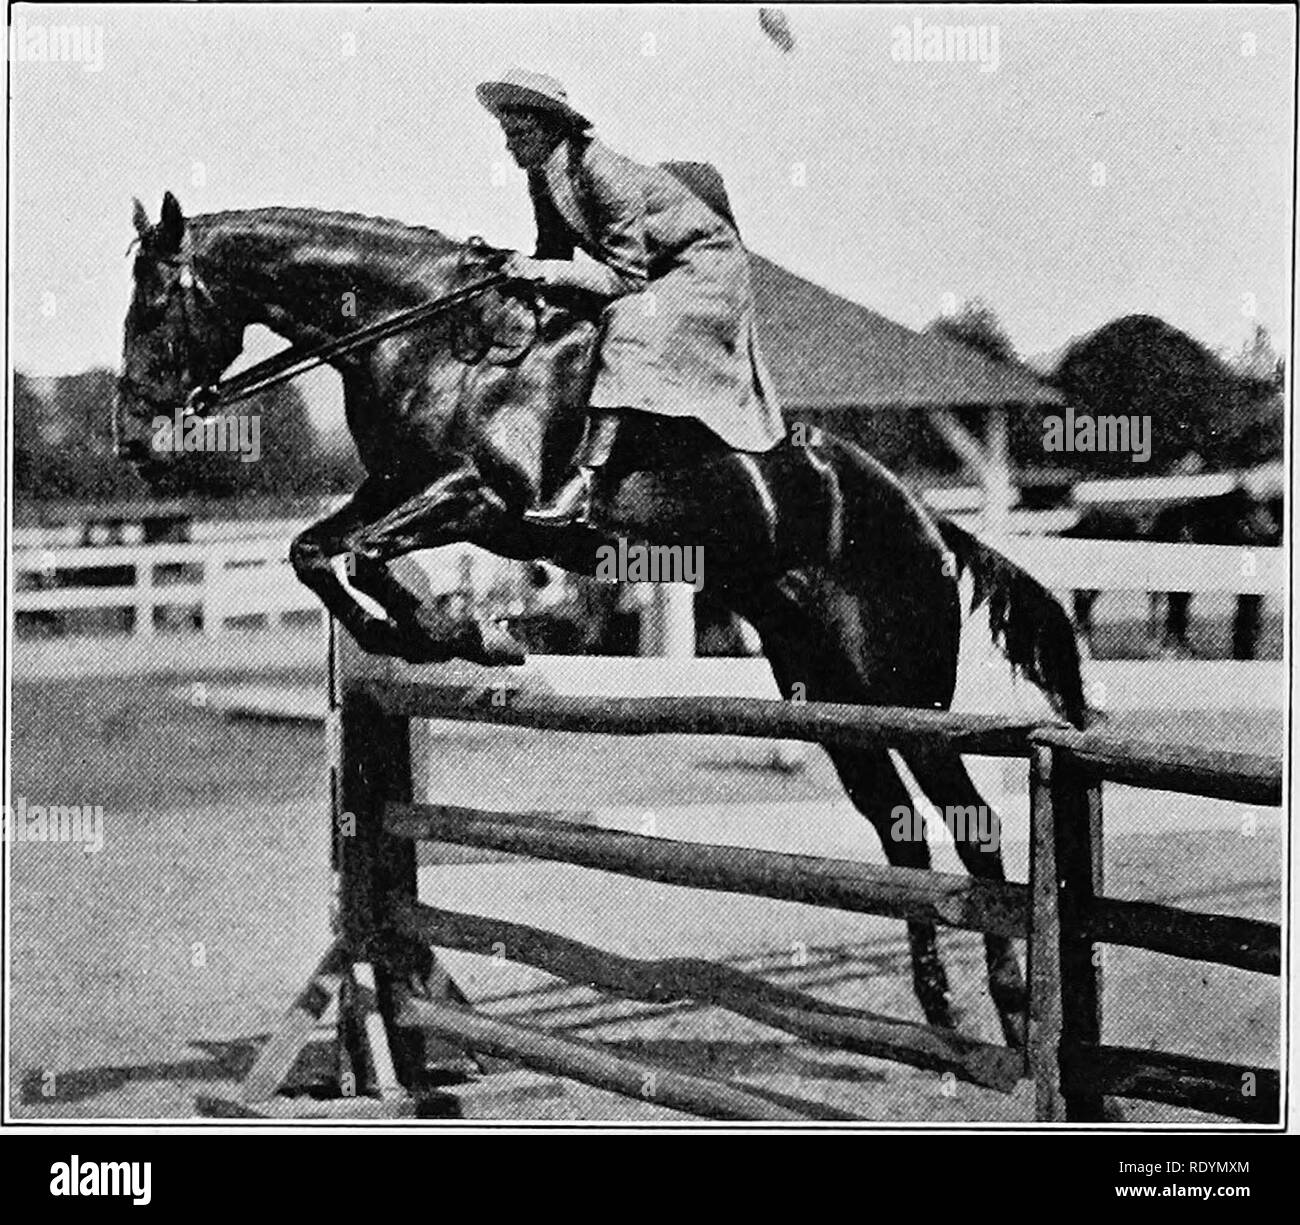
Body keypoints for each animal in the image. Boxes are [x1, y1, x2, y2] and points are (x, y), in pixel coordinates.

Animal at [115, 192, 1094, 1054]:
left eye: (154, 307)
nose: (130, 439)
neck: (426, 339)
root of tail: (926, 518)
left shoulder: (480, 496)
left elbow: (353, 553)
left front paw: (464, 632)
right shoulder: (398, 489)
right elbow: (315, 550)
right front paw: (432, 633)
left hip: (907, 696)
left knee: (972, 825)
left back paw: (1012, 1013)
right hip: (829, 700)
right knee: (899, 830)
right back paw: (939, 1009)